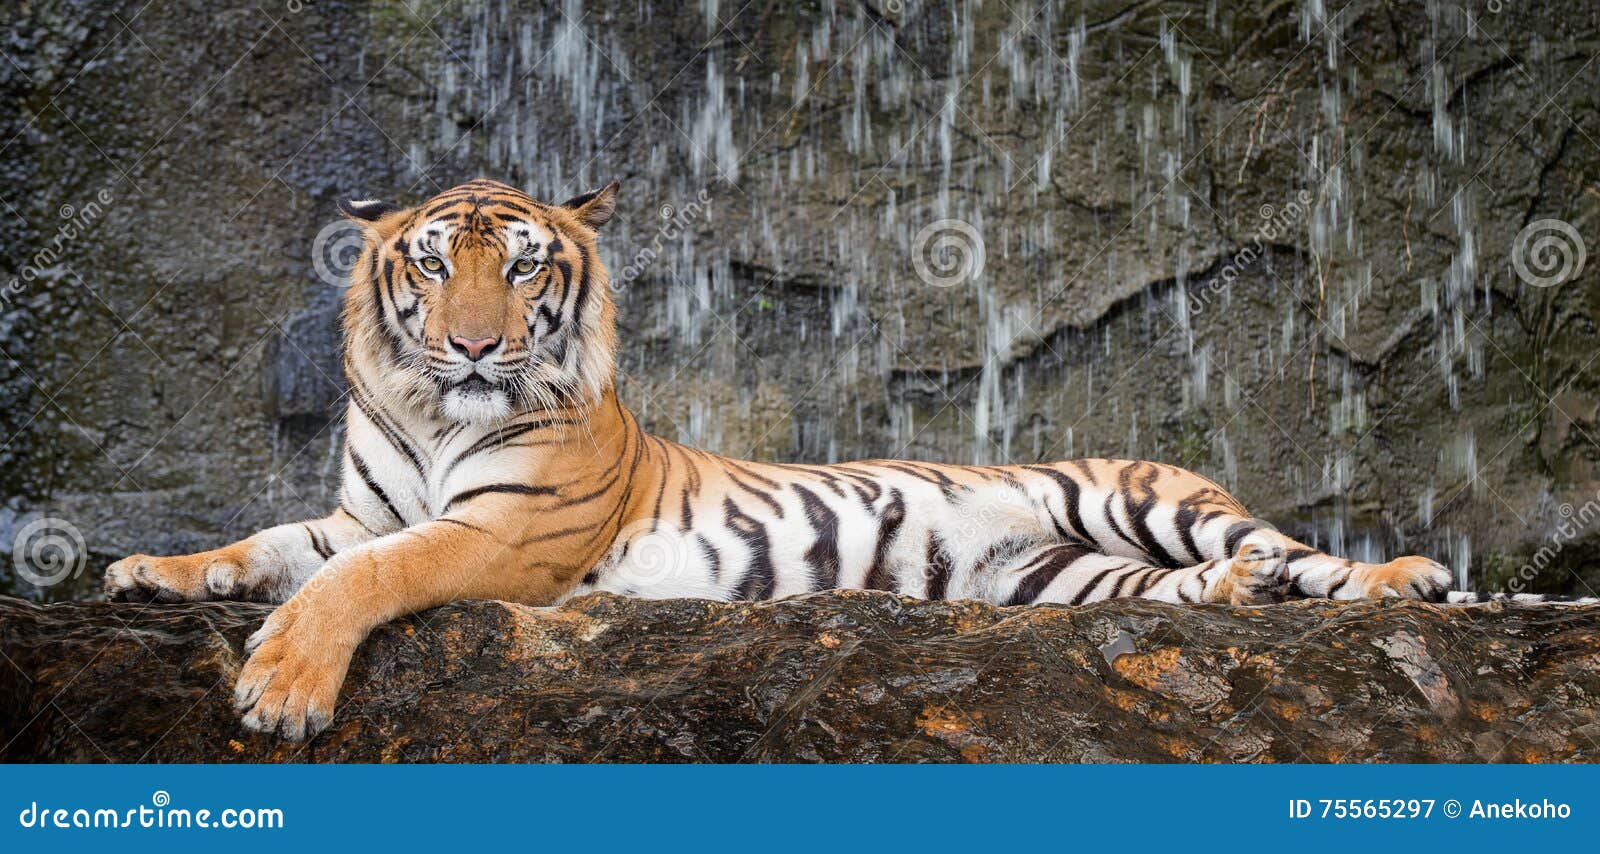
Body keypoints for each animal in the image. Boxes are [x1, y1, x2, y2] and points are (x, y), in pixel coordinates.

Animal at [102, 178, 1578, 742]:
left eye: (520, 268)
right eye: (429, 265)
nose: (471, 343)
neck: (432, 411)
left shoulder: (503, 530)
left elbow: (361, 580)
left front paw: (281, 688)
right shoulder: (359, 508)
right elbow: (271, 546)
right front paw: (148, 570)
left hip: (1151, 494)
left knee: (1297, 549)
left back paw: (1397, 581)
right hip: (1061, 582)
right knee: (1206, 590)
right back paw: (1243, 604)